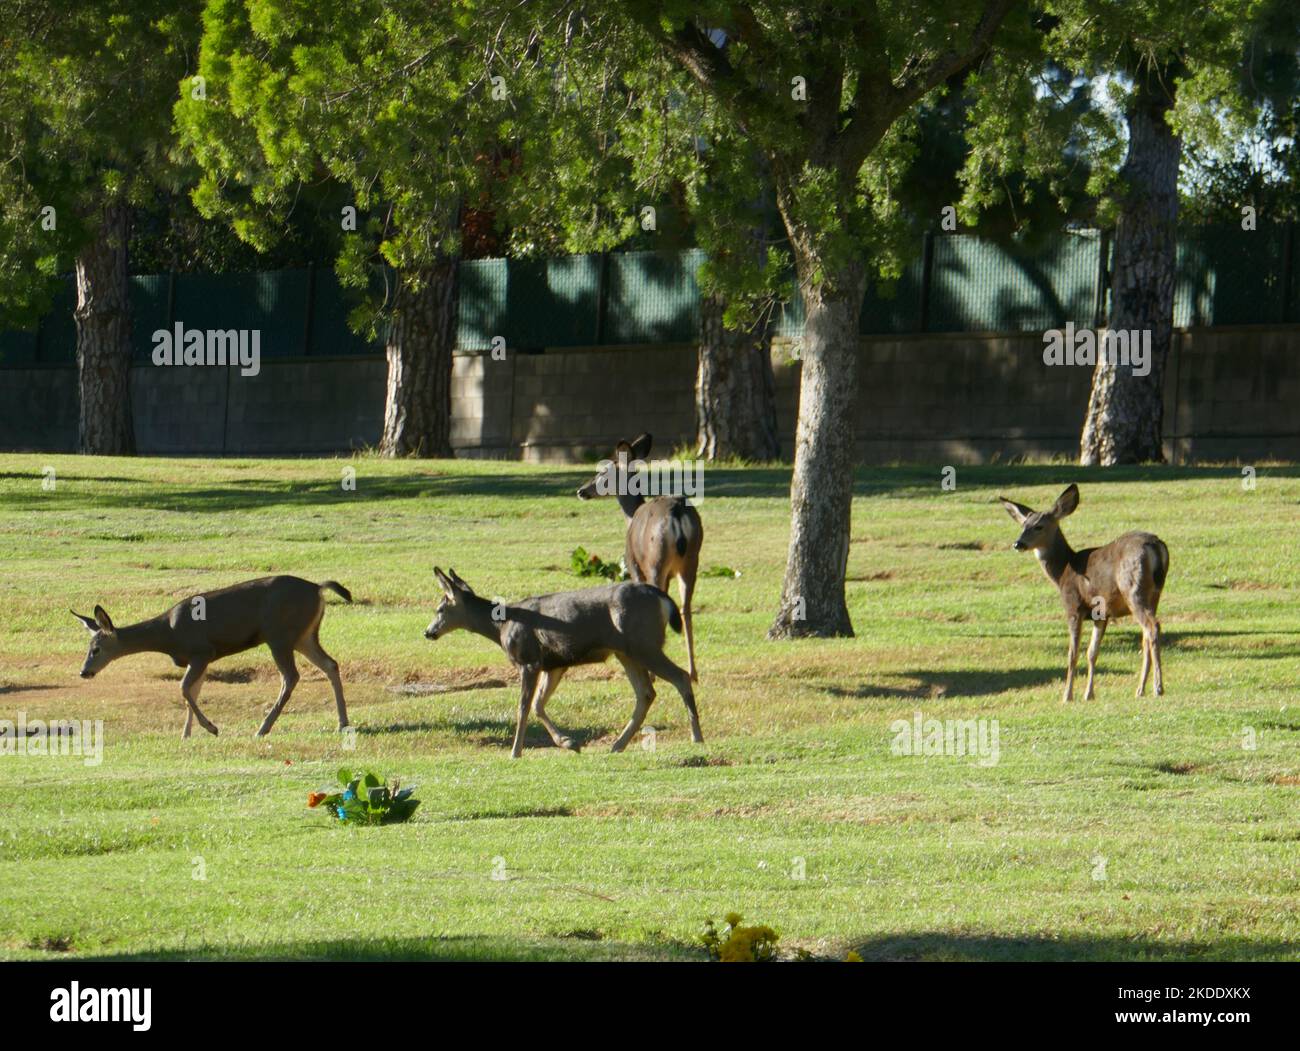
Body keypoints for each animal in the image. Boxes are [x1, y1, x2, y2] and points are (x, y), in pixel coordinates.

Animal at [72, 576, 352, 738]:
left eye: (96, 649)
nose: (84, 672)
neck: (168, 635)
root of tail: (317, 589)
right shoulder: (200, 659)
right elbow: (192, 693)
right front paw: (186, 735)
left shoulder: (202, 651)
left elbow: (183, 688)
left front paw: (211, 727)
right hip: (304, 635)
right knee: (330, 664)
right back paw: (342, 723)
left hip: (279, 635)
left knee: (290, 677)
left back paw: (262, 728)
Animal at [423, 567, 703, 758]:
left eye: (440, 609)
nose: (428, 632)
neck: (501, 625)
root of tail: (662, 599)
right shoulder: (555, 664)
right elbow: (538, 705)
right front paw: (570, 743)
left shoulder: (529, 660)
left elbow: (523, 707)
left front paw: (515, 752)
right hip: (626, 651)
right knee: (646, 692)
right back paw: (617, 745)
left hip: (643, 643)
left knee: (680, 676)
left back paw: (696, 736)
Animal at [575, 432, 702, 682]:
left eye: (603, 472)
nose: (581, 491)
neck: (630, 517)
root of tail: (677, 513)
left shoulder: (633, 564)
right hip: (691, 559)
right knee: (686, 608)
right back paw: (693, 672)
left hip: (656, 560)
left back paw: (655, 672)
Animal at [999, 484, 1169, 703]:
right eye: (1023, 525)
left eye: (1039, 526)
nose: (1018, 544)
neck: (1063, 571)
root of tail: (1155, 545)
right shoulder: (1101, 614)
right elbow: (1092, 652)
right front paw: (1089, 694)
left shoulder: (1073, 606)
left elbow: (1073, 653)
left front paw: (1067, 695)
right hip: (1155, 593)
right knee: (1146, 635)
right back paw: (1140, 689)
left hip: (1133, 589)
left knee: (1152, 627)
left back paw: (1158, 687)